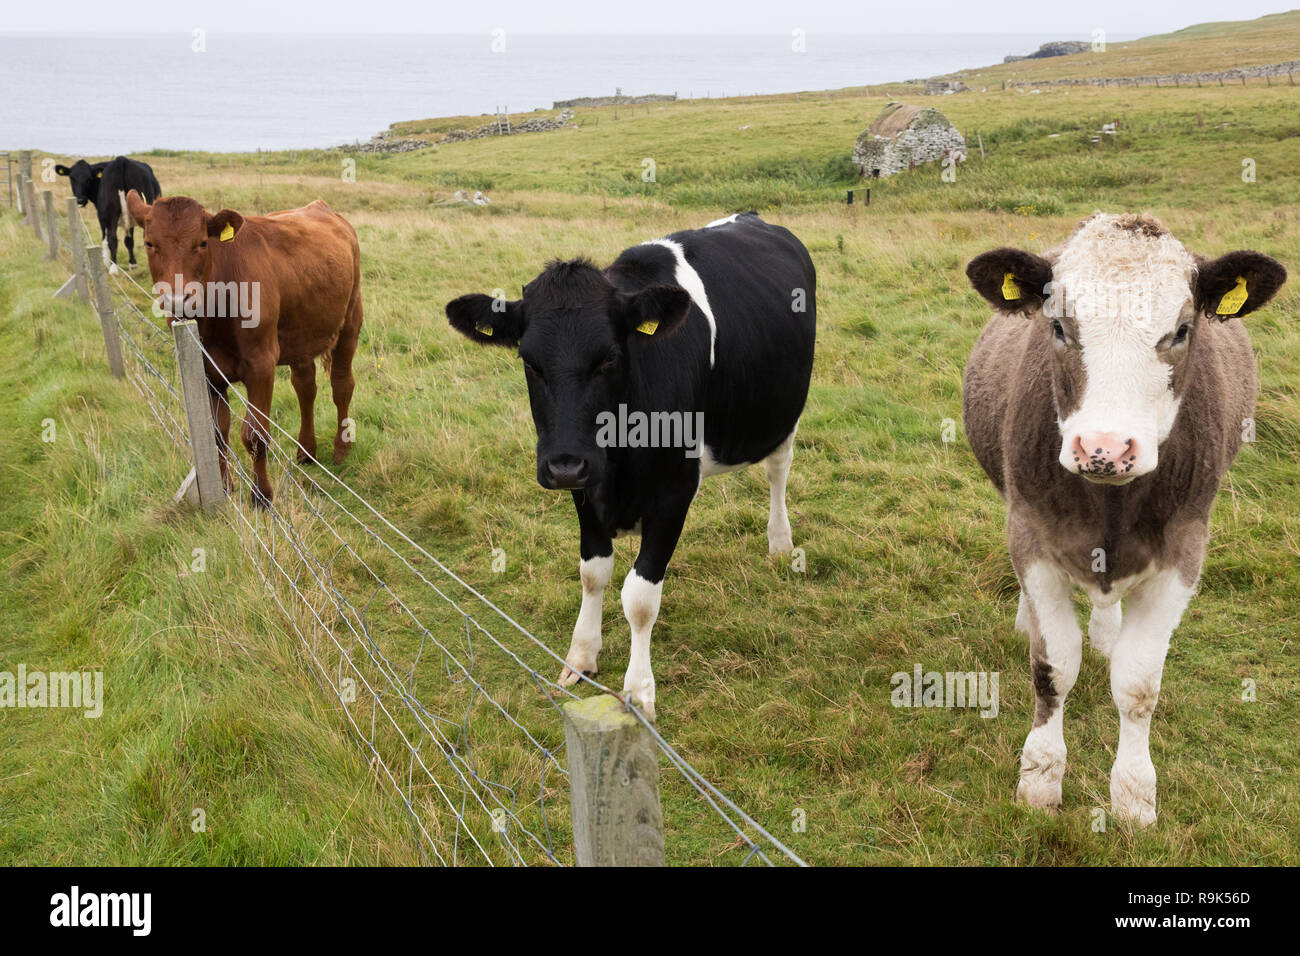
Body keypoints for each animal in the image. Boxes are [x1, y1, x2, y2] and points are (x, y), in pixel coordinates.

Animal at [125, 190, 364, 506]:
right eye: (150, 244)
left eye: (202, 243)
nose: (177, 299)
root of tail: (323, 208)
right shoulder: (207, 369)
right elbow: (217, 432)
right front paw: (225, 488)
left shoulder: (261, 364)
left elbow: (255, 433)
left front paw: (262, 496)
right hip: (300, 334)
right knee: (305, 387)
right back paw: (306, 450)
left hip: (350, 320)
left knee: (342, 384)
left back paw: (341, 450)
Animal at [446, 212, 816, 719]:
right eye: (529, 362)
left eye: (610, 356)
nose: (562, 466)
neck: (620, 457)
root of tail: (753, 217)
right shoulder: (586, 484)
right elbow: (593, 572)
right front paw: (581, 657)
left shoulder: (674, 491)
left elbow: (639, 597)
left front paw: (639, 691)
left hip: (785, 411)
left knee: (778, 468)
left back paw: (780, 542)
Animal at [962, 212, 1286, 825]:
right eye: (1058, 326)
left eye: (1181, 330)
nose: (1105, 448)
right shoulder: (1031, 537)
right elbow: (1053, 668)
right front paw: (1040, 780)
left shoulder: (1184, 553)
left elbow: (1137, 685)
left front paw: (1134, 796)